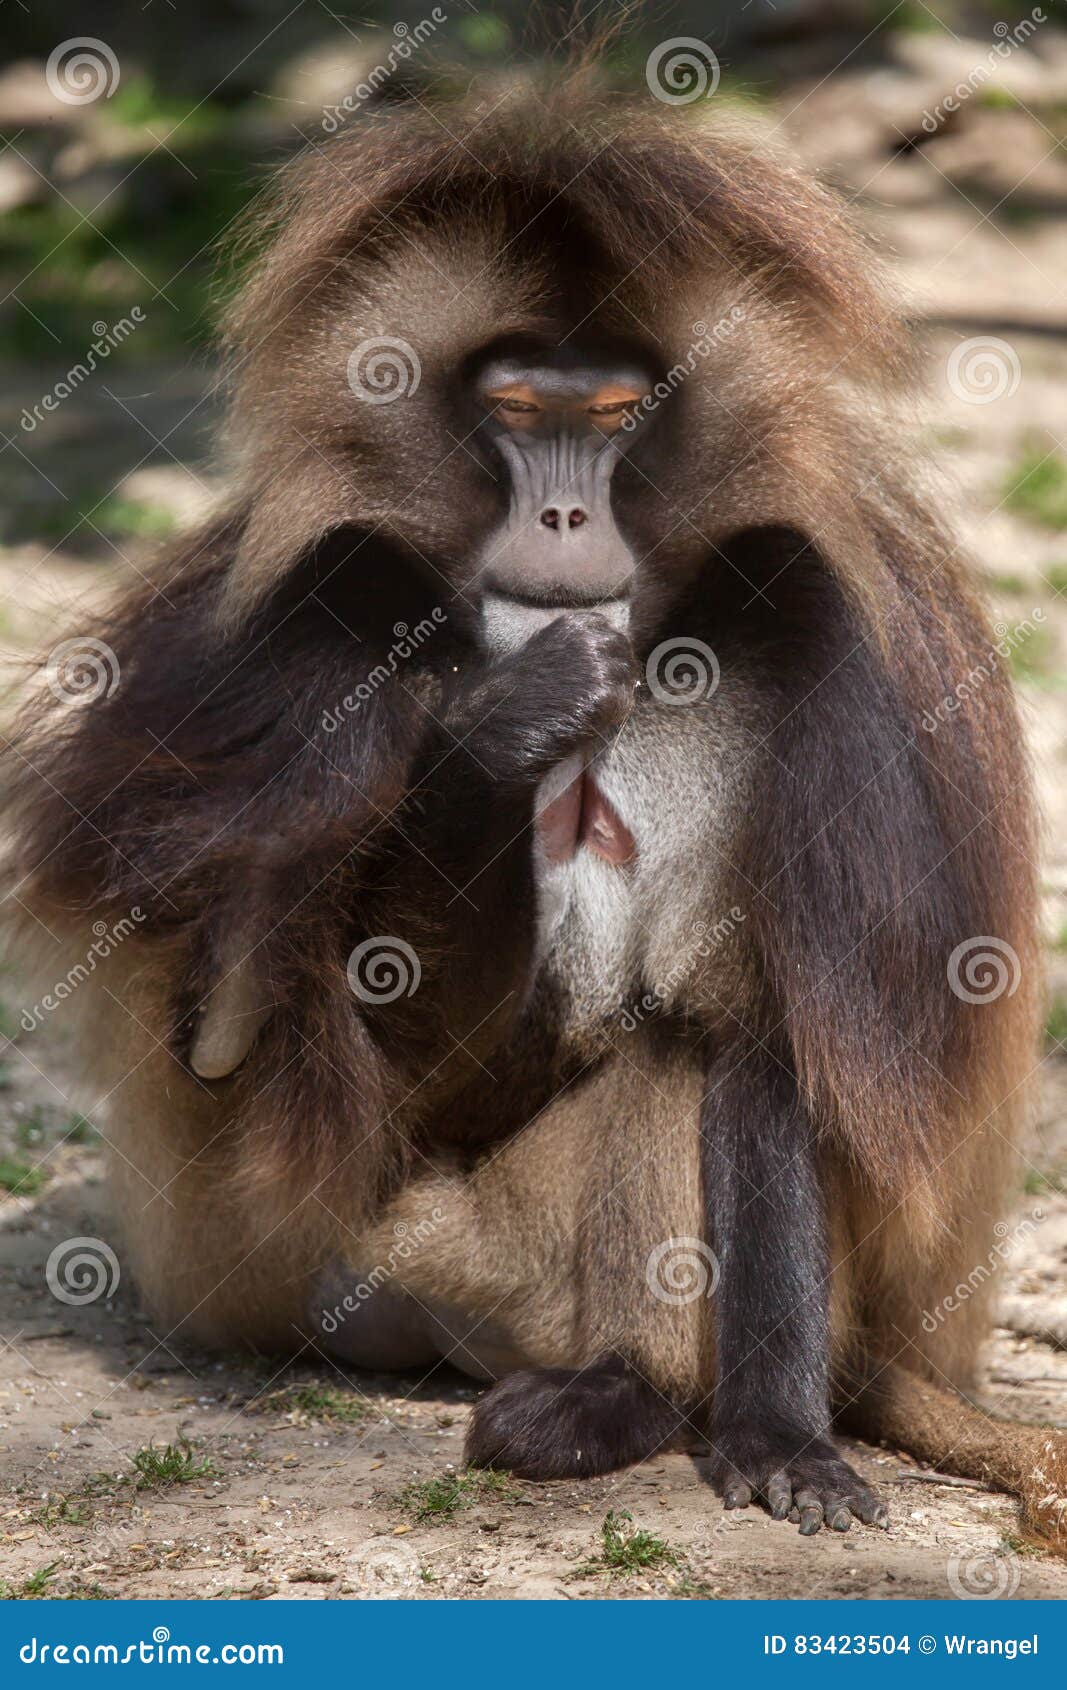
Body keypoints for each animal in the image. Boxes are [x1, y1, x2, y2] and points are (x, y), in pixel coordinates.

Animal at [4, 74, 1064, 1549]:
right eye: (512, 407)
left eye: (615, 414)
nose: (563, 517)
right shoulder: (289, 591)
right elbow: (365, 1032)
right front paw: (501, 731)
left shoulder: (820, 619)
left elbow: (772, 1035)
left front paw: (777, 1438)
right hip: (288, 1263)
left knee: (678, 1049)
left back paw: (613, 1398)